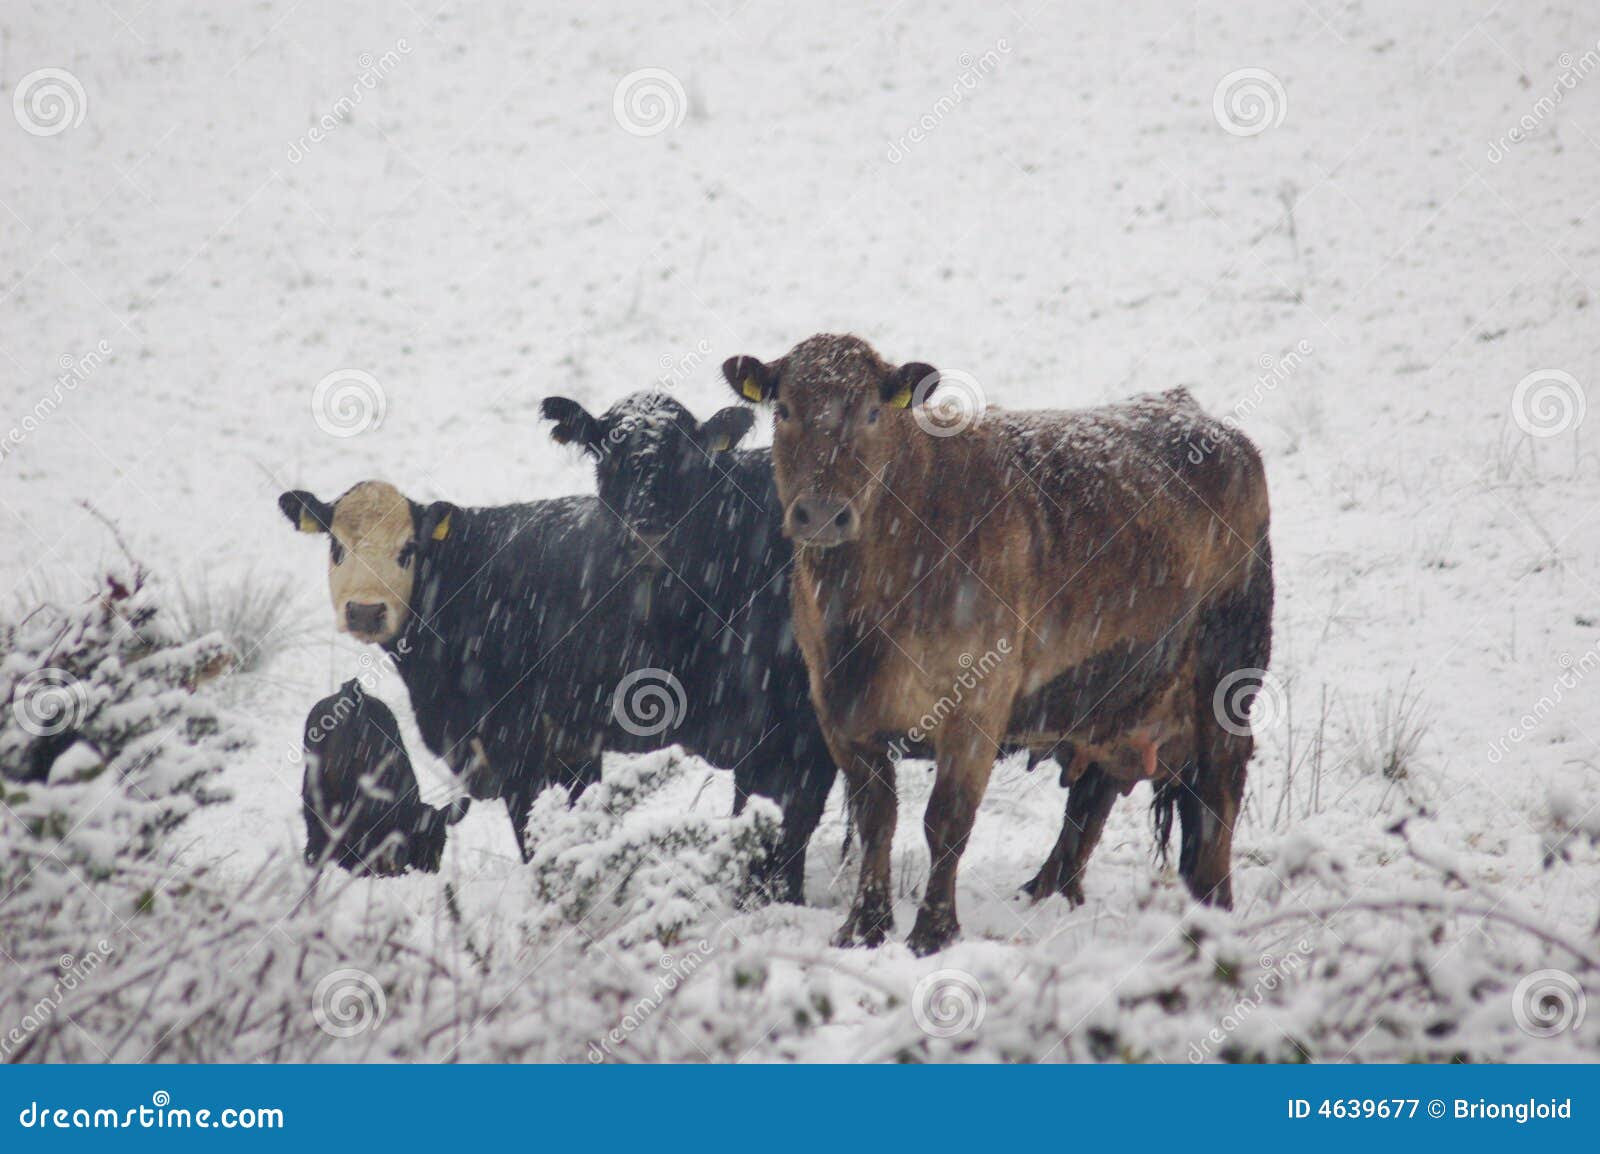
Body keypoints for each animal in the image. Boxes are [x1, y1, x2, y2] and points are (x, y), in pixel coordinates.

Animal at [722, 334, 1273, 954]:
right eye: (784, 410)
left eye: (870, 412)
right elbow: (875, 818)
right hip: (1114, 695)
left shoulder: (977, 702)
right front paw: (864, 926)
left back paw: (1215, 906)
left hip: (1227, 669)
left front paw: (932, 932)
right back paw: (1045, 893)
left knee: (1219, 783)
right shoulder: (838, 711)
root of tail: (1205, 422)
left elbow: (946, 820)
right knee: (1093, 796)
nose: (821, 513)